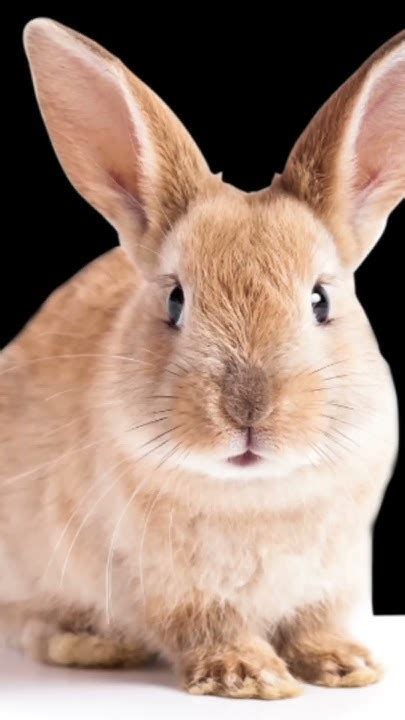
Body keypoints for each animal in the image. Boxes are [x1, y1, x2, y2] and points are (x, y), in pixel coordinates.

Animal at [0, 18, 403, 700]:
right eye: (175, 299)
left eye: (320, 300)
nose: (248, 410)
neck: (255, 494)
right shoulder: (170, 588)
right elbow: (205, 627)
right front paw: (250, 678)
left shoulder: (334, 576)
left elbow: (315, 623)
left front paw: (348, 666)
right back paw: (90, 644)